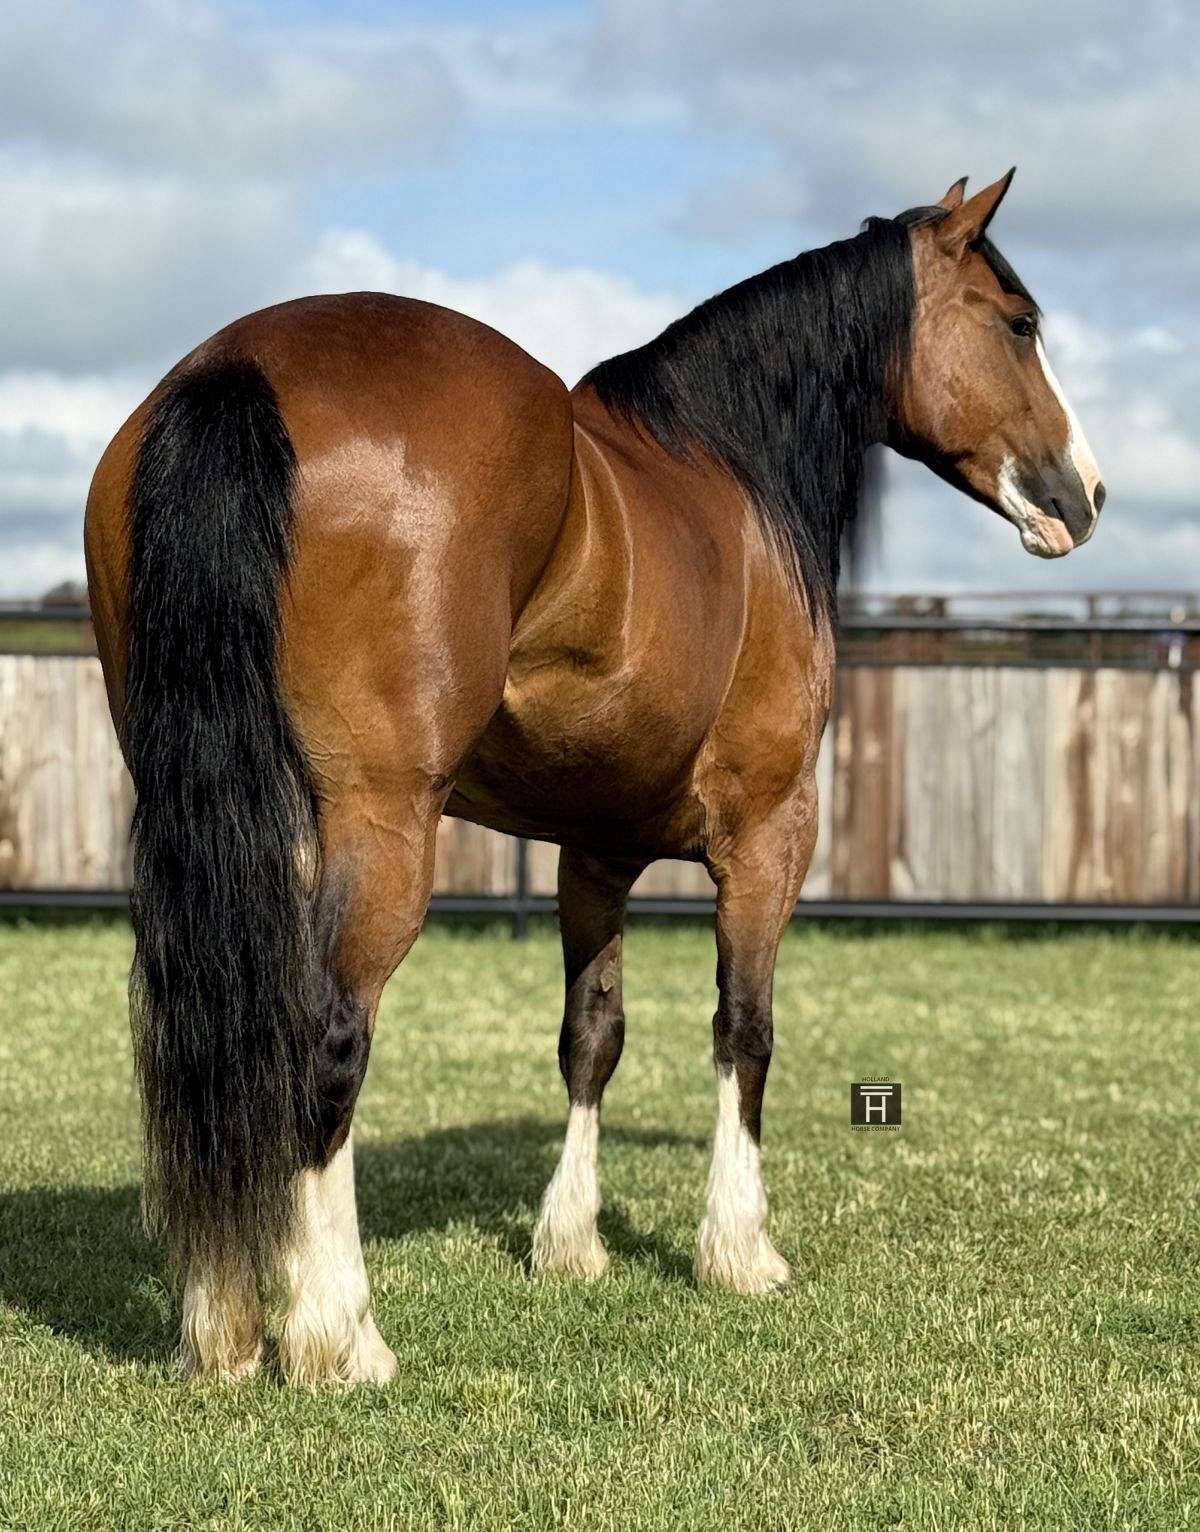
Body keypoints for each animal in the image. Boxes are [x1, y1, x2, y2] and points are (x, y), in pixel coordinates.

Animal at [84, 169, 1104, 1387]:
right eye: (1020, 323)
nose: (1086, 497)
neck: (735, 472)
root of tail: (236, 365)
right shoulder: (772, 830)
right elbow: (745, 1028)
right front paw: (739, 1250)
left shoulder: (596, 848)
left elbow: (592, 1034)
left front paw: (568, 1243)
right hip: (382, 822)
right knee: (324, 1032)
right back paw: (340, 1332)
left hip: (229, 808)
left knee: (216, 1021)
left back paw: (224, 1326)